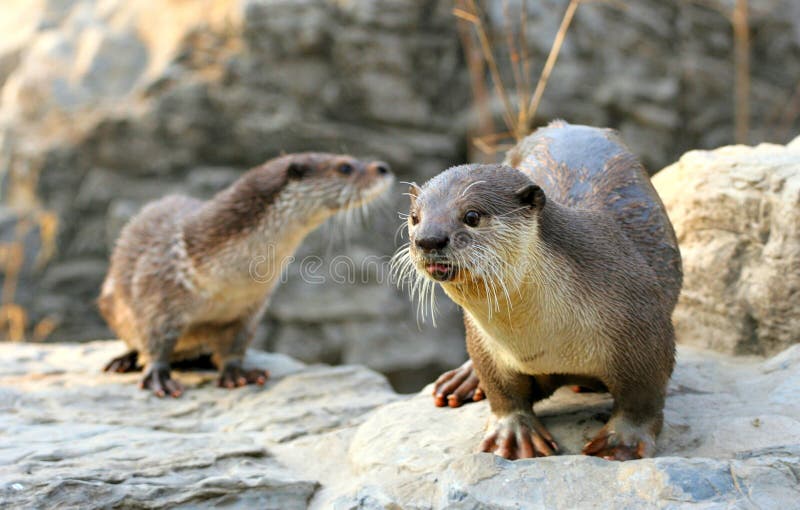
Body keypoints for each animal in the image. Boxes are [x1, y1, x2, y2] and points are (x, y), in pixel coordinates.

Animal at [99, 153, 393, 398]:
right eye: (345, 166)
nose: (383, 167)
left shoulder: (251, 308)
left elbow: (236, 343)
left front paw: (236, 373)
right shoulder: (157, 287)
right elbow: (156, 337)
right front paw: (158, 375)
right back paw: (123, 361)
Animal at [394, 121, 681, 460]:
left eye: (472, 215)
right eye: (415, 217)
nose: (429, 239)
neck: (545, 339)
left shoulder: (644, 328)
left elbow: (643, 398)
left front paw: (621, 443)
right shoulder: (487, 345)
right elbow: (502, 391)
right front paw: (513, 433)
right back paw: (463, 381)